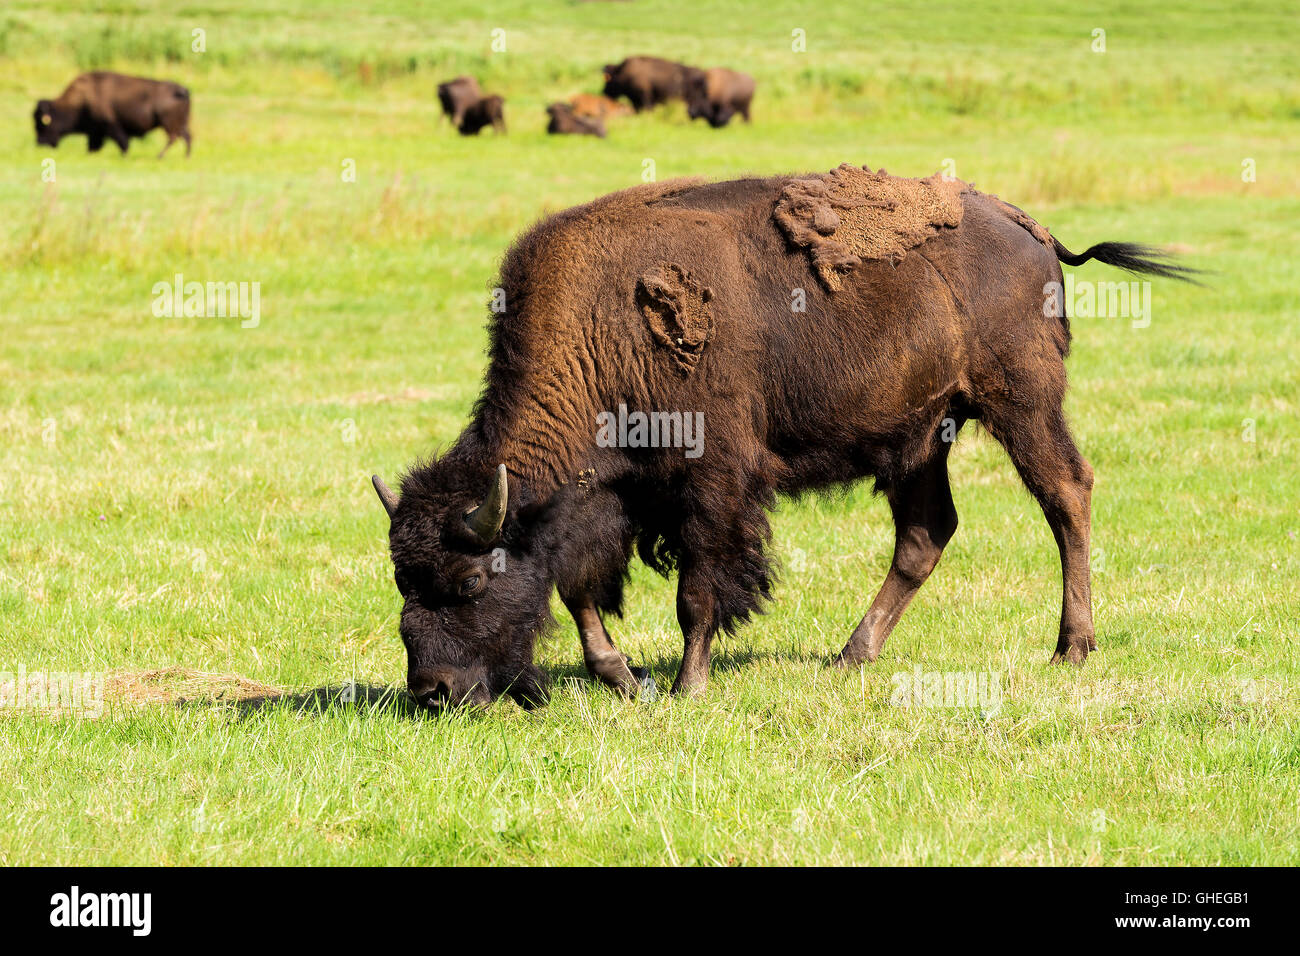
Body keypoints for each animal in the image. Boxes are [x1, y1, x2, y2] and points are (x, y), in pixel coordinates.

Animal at [33, 71, 191, 158]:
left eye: (42, 123)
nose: (40, 143)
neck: (81, 100)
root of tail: (183, 90)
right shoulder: (96, 132)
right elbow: (93, 145)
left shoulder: (110, 125)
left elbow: (122, 142)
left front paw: (124, 155)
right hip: (180, 123)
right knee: (187, 137)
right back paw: (184, 157)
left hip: (169, 124)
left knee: (174, 137)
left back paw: (160, 156)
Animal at [373, 165, 1194, 710]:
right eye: (402, 580)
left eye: (470, 582)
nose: (434, 690)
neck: (599, 333)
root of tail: (1032, 228)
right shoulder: (611, 495)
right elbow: (580, 587)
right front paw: (624, 676)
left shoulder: (711, 481)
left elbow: (697, 591)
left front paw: (687, 686)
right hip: (923, 434)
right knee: (925, 534)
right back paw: (849, 657)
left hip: (1020, 401)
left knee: (1065, 494)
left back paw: (1071, 648)